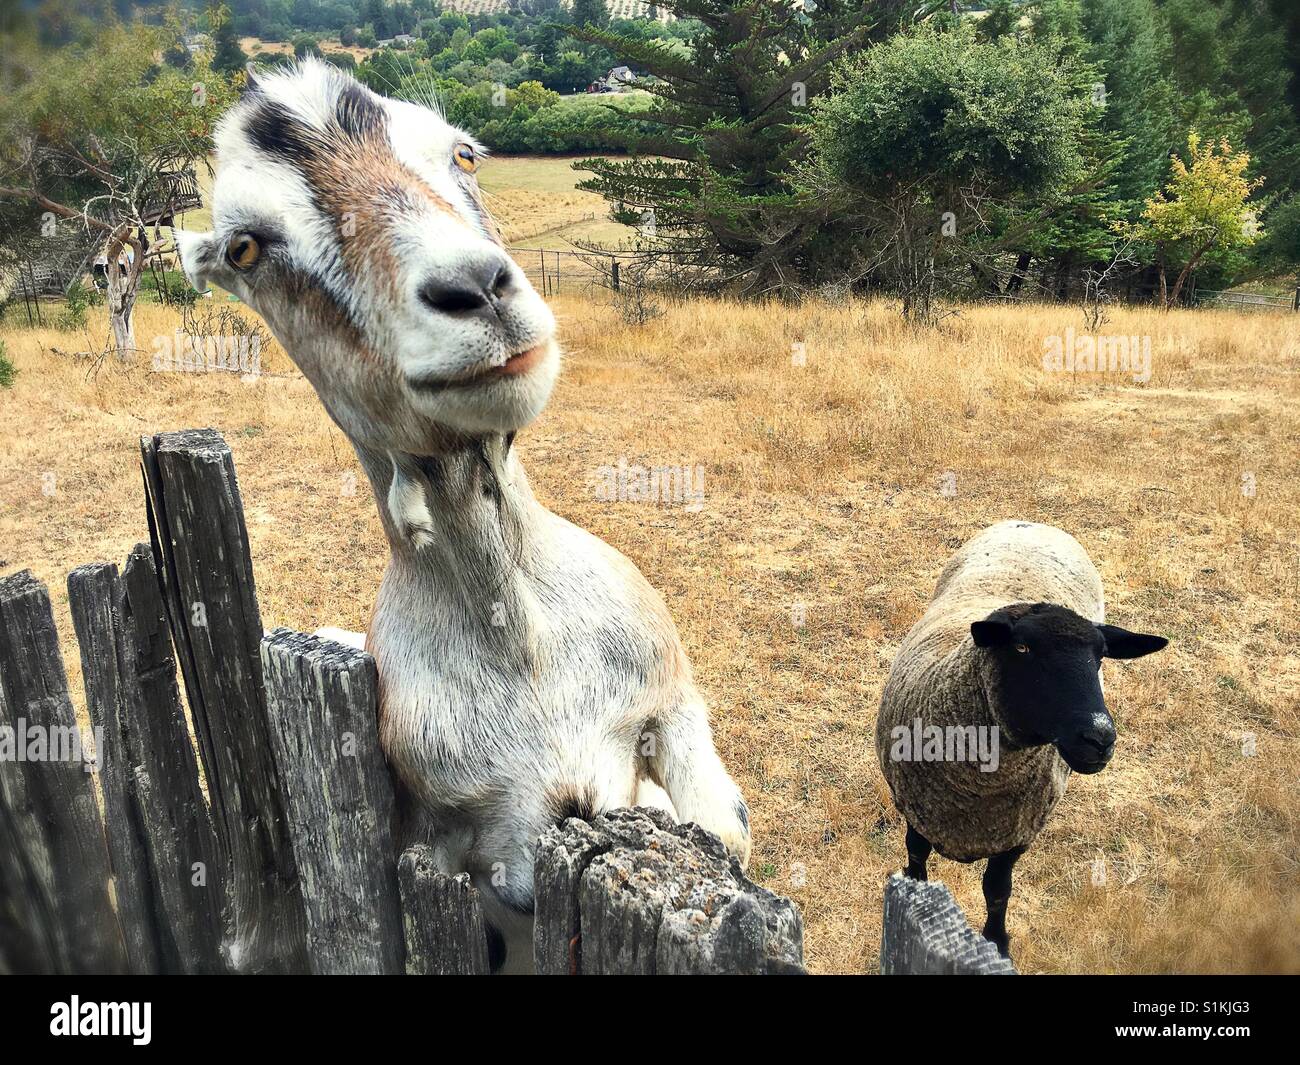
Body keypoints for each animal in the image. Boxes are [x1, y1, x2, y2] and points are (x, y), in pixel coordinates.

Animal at [875, 520, 1167, 956]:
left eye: (1099, 657)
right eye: (1023, 647)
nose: (1100, 737)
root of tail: (1036, 525)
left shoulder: (1016, 835)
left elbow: (997, 891)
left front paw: (997, 941)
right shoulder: (916, 809)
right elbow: (916, 859)